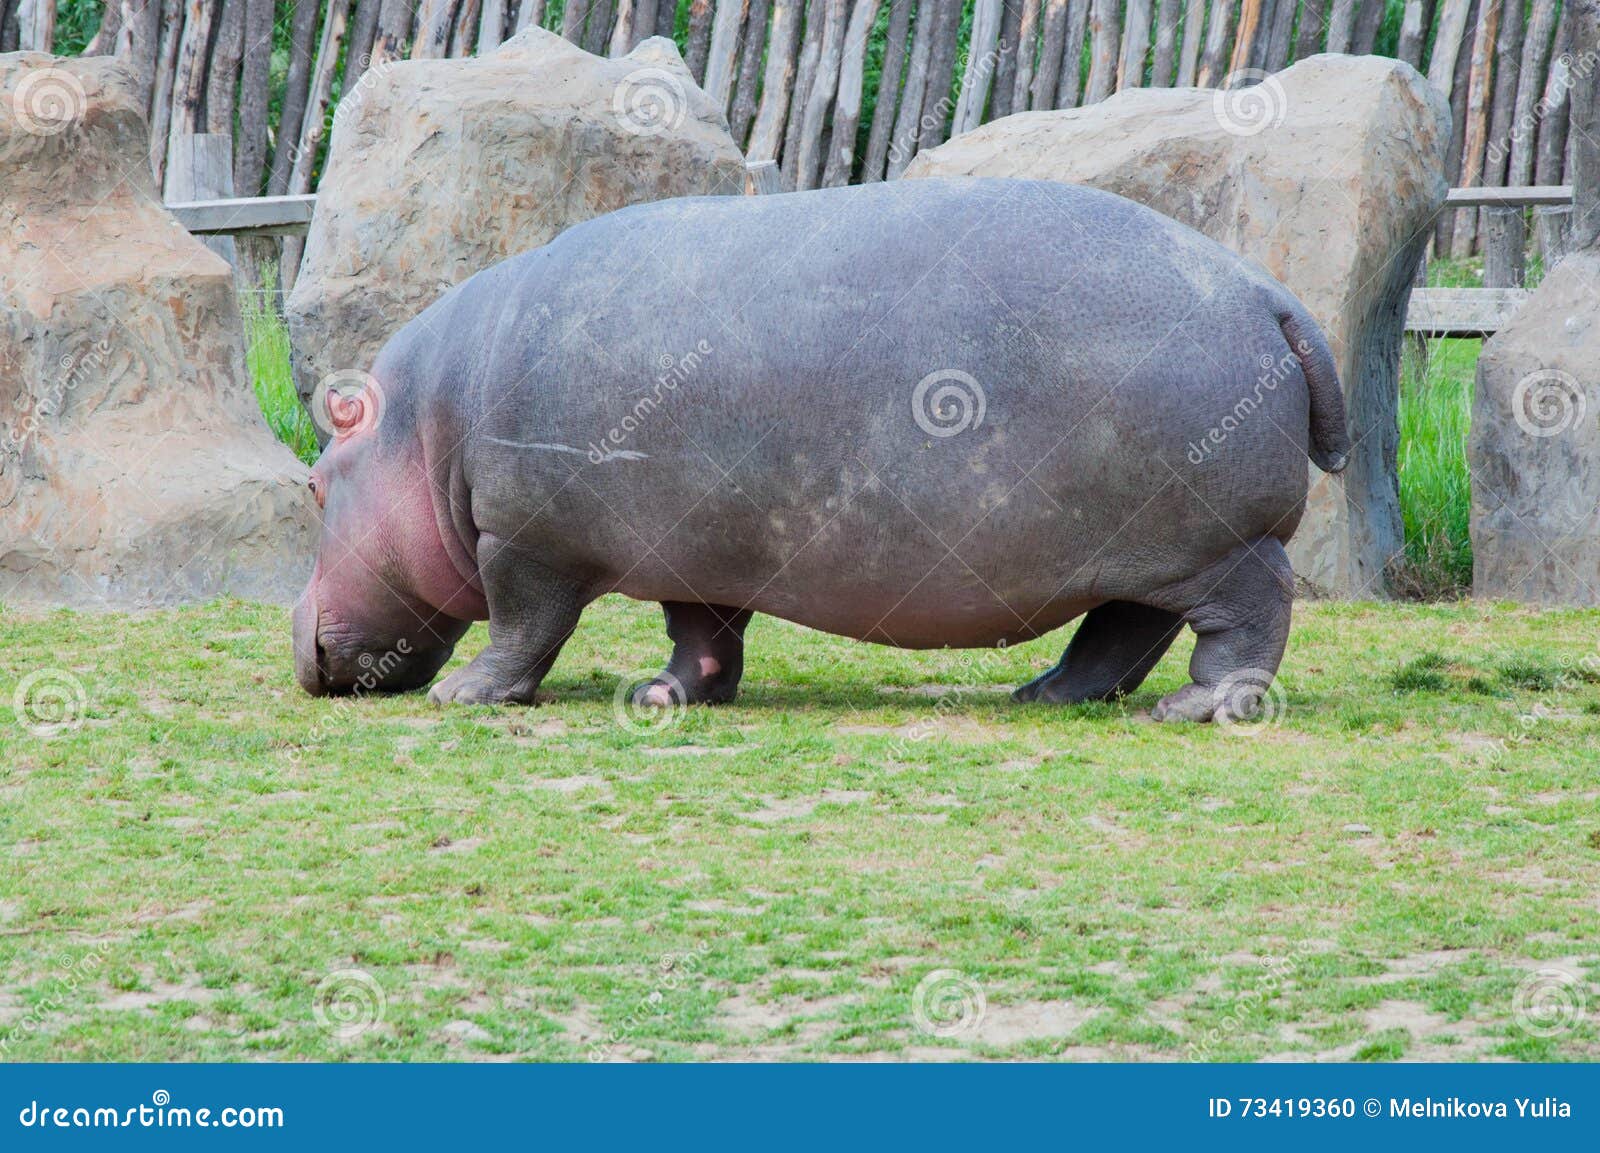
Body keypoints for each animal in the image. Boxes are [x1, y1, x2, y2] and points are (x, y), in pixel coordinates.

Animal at [292, 177, 1348, 723]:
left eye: (311, 485)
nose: (297, 647)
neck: (427, 424)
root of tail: (1267, 291)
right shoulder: (697, 543)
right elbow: (703, 632)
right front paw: (665, 693)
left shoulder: (525, 542)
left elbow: (524, 624)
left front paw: (467, 694)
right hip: (1141, 546)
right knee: (1122, 631)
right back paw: (1042, 691)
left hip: (1217, 542)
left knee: (1250, 614)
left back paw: (1197, 708)